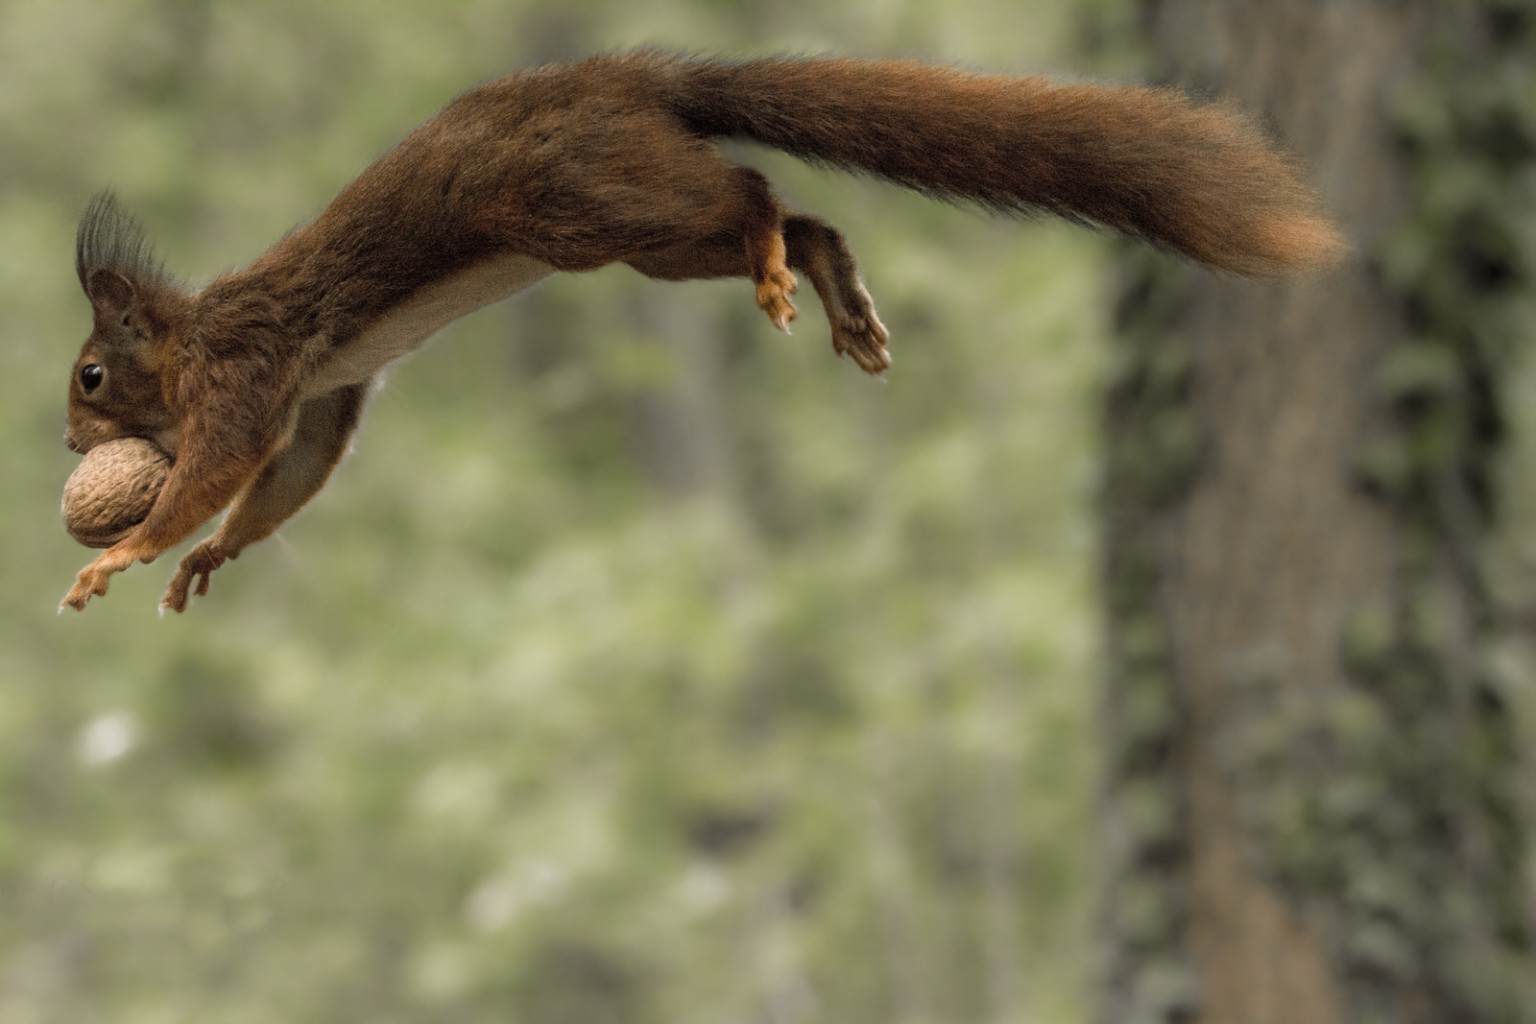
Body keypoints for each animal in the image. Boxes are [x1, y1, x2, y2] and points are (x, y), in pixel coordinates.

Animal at [60, 49, 1345, 613]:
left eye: (90, 376)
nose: (66, 448)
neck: (187, 340)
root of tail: (632, 79)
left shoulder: (245, 378)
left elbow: (217, 472)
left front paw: (129, 554)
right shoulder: (323, 392)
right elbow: (290, 480)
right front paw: (213, 559)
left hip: (588, 204)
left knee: (749, 190)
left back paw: (777, 256)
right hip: (631, 227)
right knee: (799, 210)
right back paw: (833, 289)